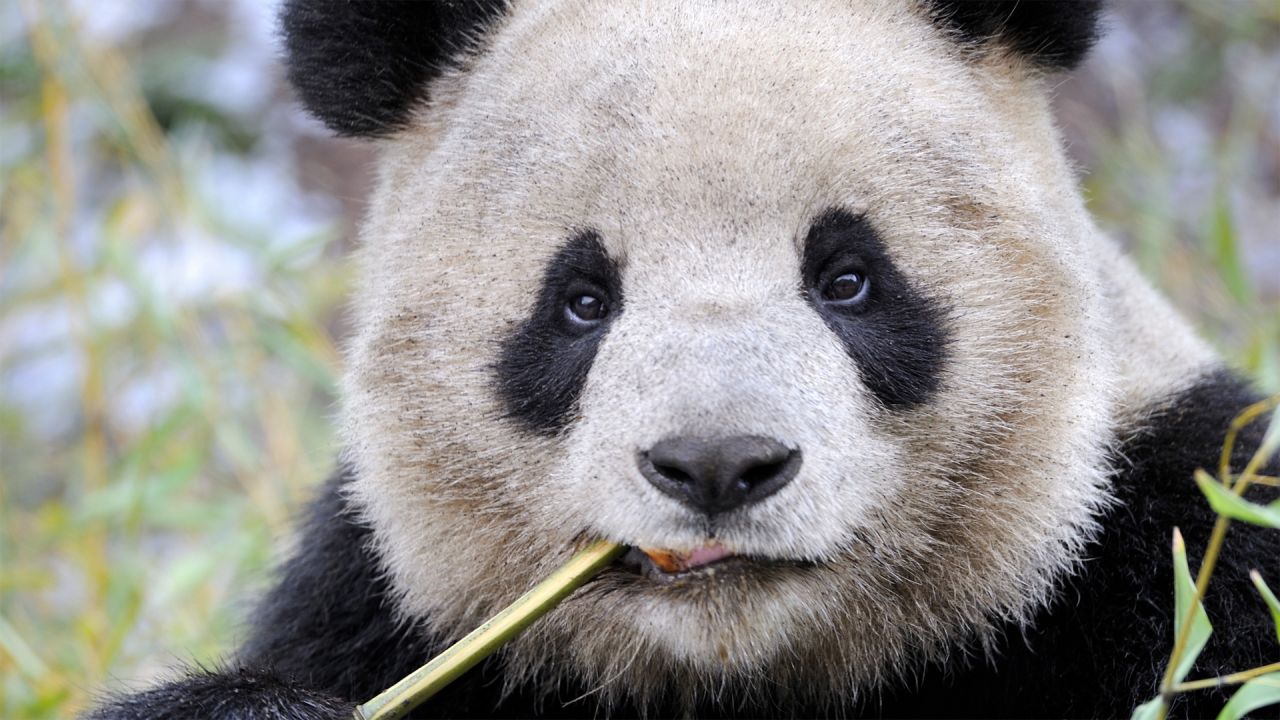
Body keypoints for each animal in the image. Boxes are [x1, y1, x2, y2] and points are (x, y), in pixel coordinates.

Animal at [91, 1, 1279, 718]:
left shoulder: (1180, 548)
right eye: (580, 302)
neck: (739, 668)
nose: (717, 465)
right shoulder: (380, 603)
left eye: (847, 279)